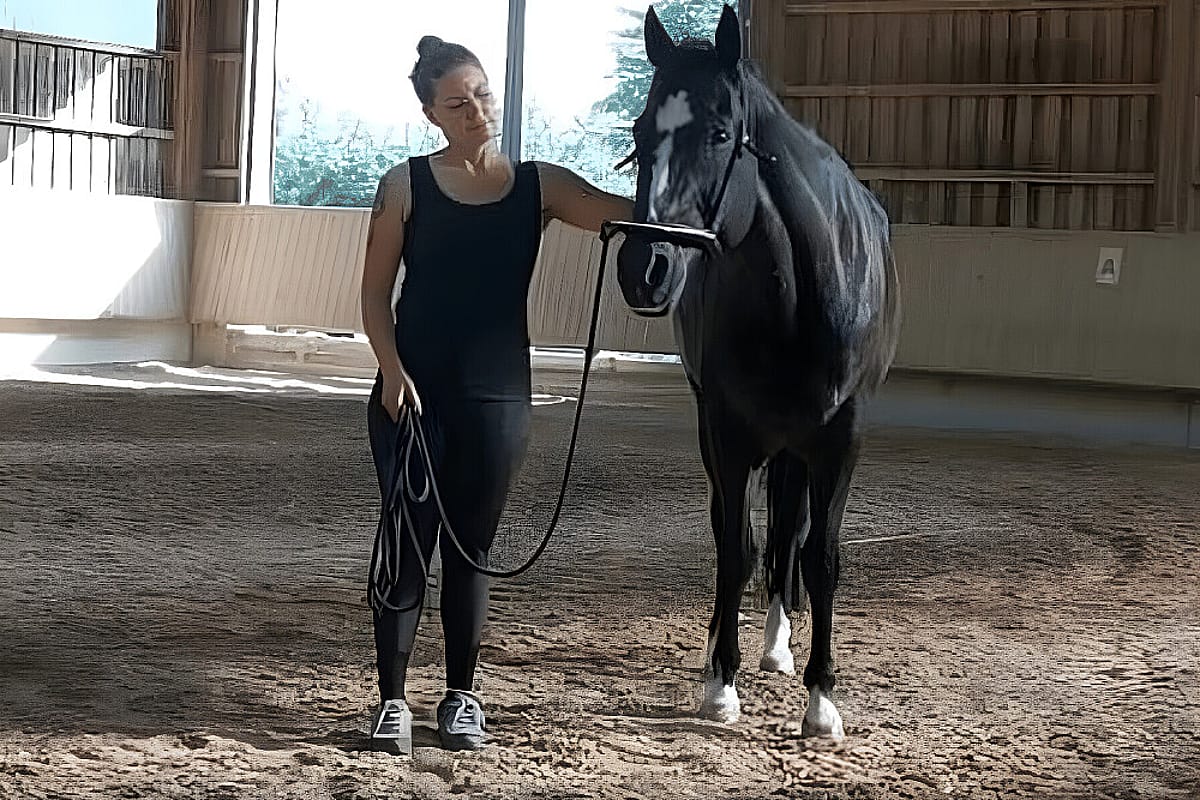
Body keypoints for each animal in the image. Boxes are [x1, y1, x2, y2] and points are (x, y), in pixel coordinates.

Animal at [613, 5, 900, 739]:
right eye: (640, 132)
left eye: (720, 134)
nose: (643, 268)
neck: (797, 294)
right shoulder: (726, 430)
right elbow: (732, 547)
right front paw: (720, 682)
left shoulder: (840, 437)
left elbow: (820, 557)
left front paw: (821, 700)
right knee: (740, 533)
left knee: (790, 536)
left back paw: (777, 646)